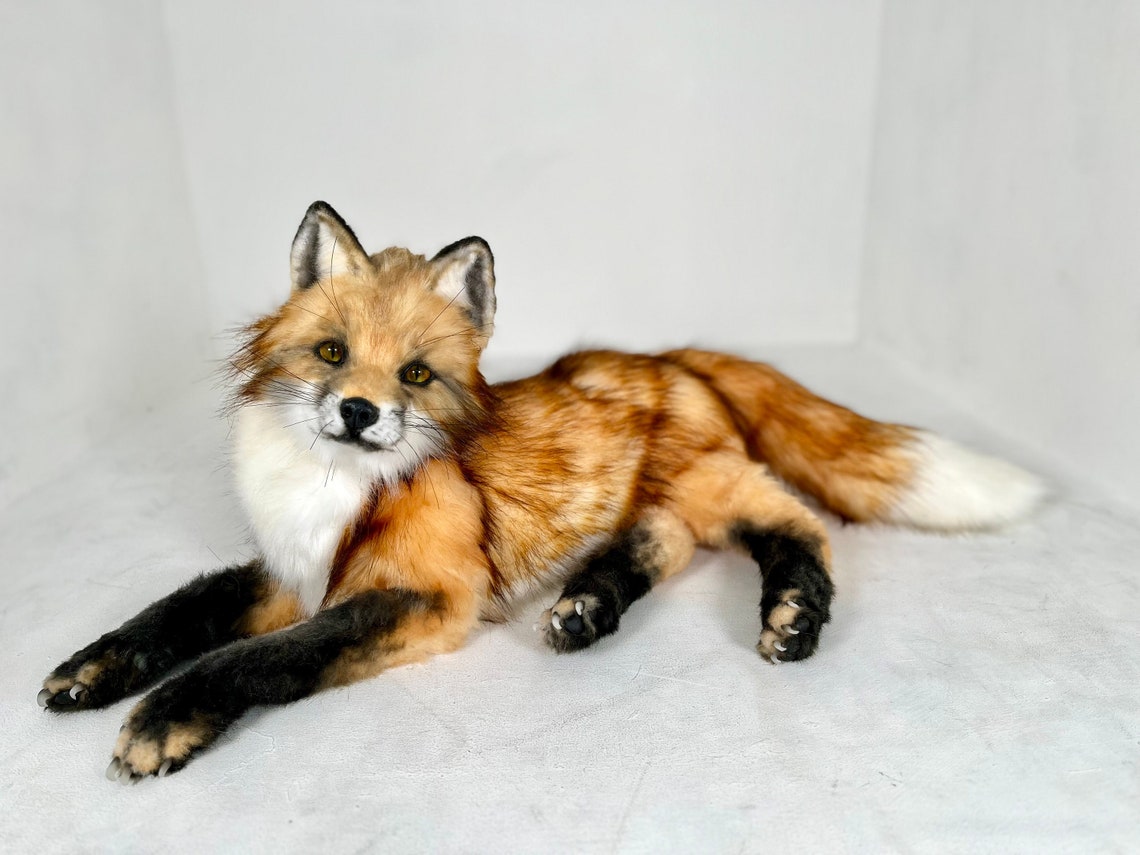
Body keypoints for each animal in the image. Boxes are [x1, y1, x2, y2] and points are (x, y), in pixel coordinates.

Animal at [39, 202, 1045, 781]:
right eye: (331, 353)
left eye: (414, 375)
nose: (360, 412)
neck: (340, 487)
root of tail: (668, 356)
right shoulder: (294, 565)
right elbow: (183, 611)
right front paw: (97, 667)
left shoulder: (426, 594)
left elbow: (266, 656)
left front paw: (164, 717)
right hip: (658, 503)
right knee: (657, 544)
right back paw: (588, 608)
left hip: (716, 484)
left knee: (795, 525)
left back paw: (794, 614)